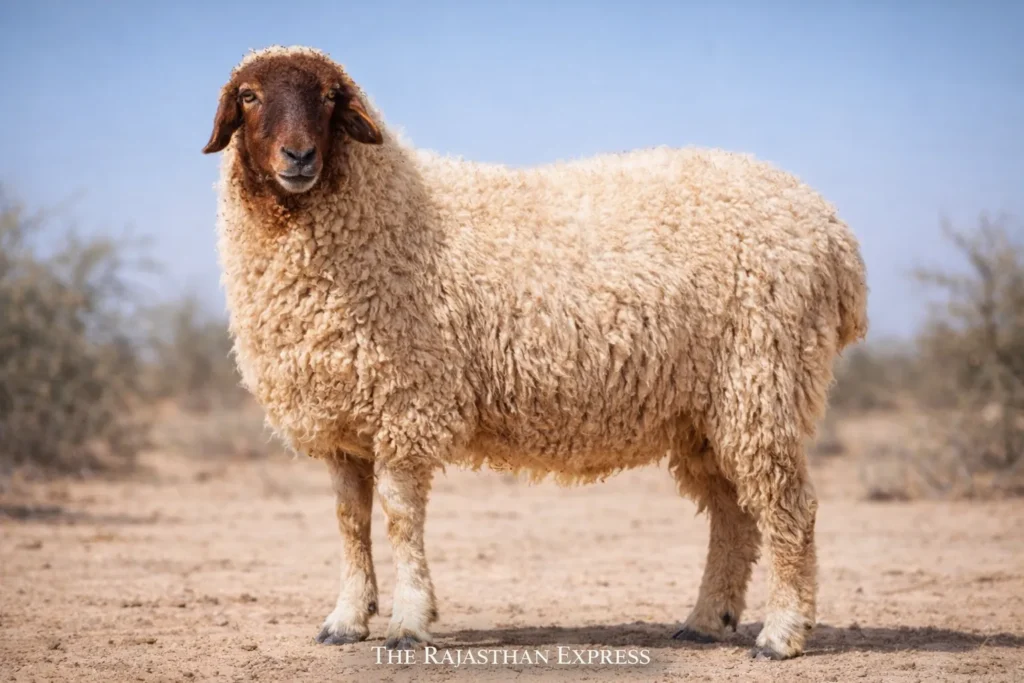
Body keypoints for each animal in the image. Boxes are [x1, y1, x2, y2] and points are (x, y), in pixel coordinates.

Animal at [201, 45, 868, 661]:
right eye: (249, 97)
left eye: (331, 98)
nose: (299, 157)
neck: (380, 209)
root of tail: (834, 236)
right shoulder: (342, 420)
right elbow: (349, 520)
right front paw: (345, 620)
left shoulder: (405, 406)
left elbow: (399, 516)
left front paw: (409, 622)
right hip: (709, 411)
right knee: (734, 515)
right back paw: (706, 620)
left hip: (764, 378)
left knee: (789, 509)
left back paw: (781, 635)